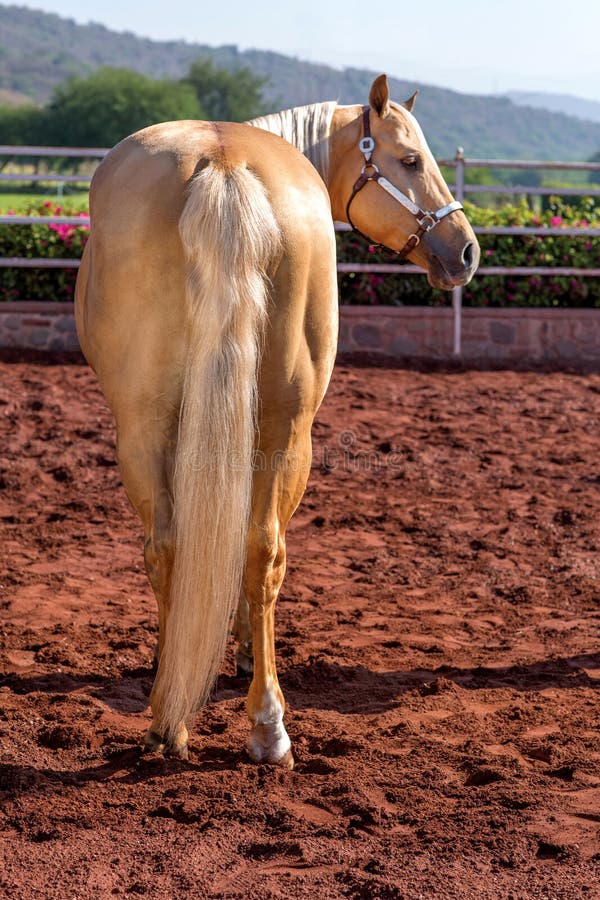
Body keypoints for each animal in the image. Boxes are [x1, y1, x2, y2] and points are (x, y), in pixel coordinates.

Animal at [75, 74, 479, 768]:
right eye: (409, 160)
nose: (466, 250)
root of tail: (224, 162)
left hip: (156, 428)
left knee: (182, 545)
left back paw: (185, 715)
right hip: (283, 432)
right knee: (255, 548)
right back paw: (263, 725)